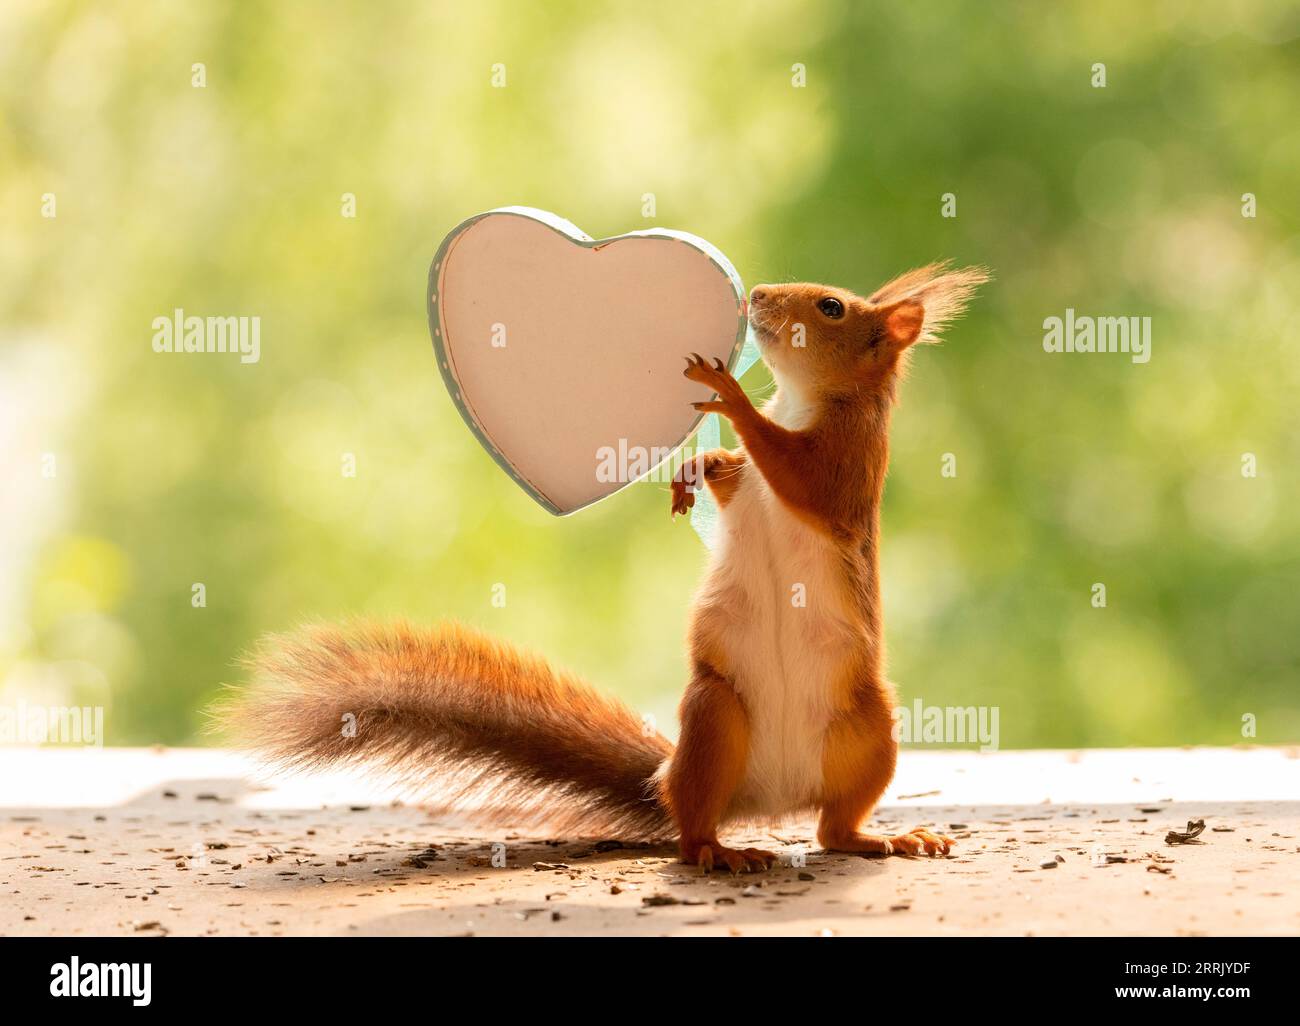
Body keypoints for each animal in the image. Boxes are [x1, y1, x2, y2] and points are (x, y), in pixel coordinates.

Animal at [219, 261, 988, 873]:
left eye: (830, 307)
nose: (760, 293)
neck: (803, 399)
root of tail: (769, 799)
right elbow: (737, 476)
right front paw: (696, 469)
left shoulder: (847, 468)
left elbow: (794, 471)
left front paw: (727, 394)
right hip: (716, 717)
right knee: (704, 825)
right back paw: (725, 848)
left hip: (867, 729)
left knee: (831, 829)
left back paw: (874, 840)